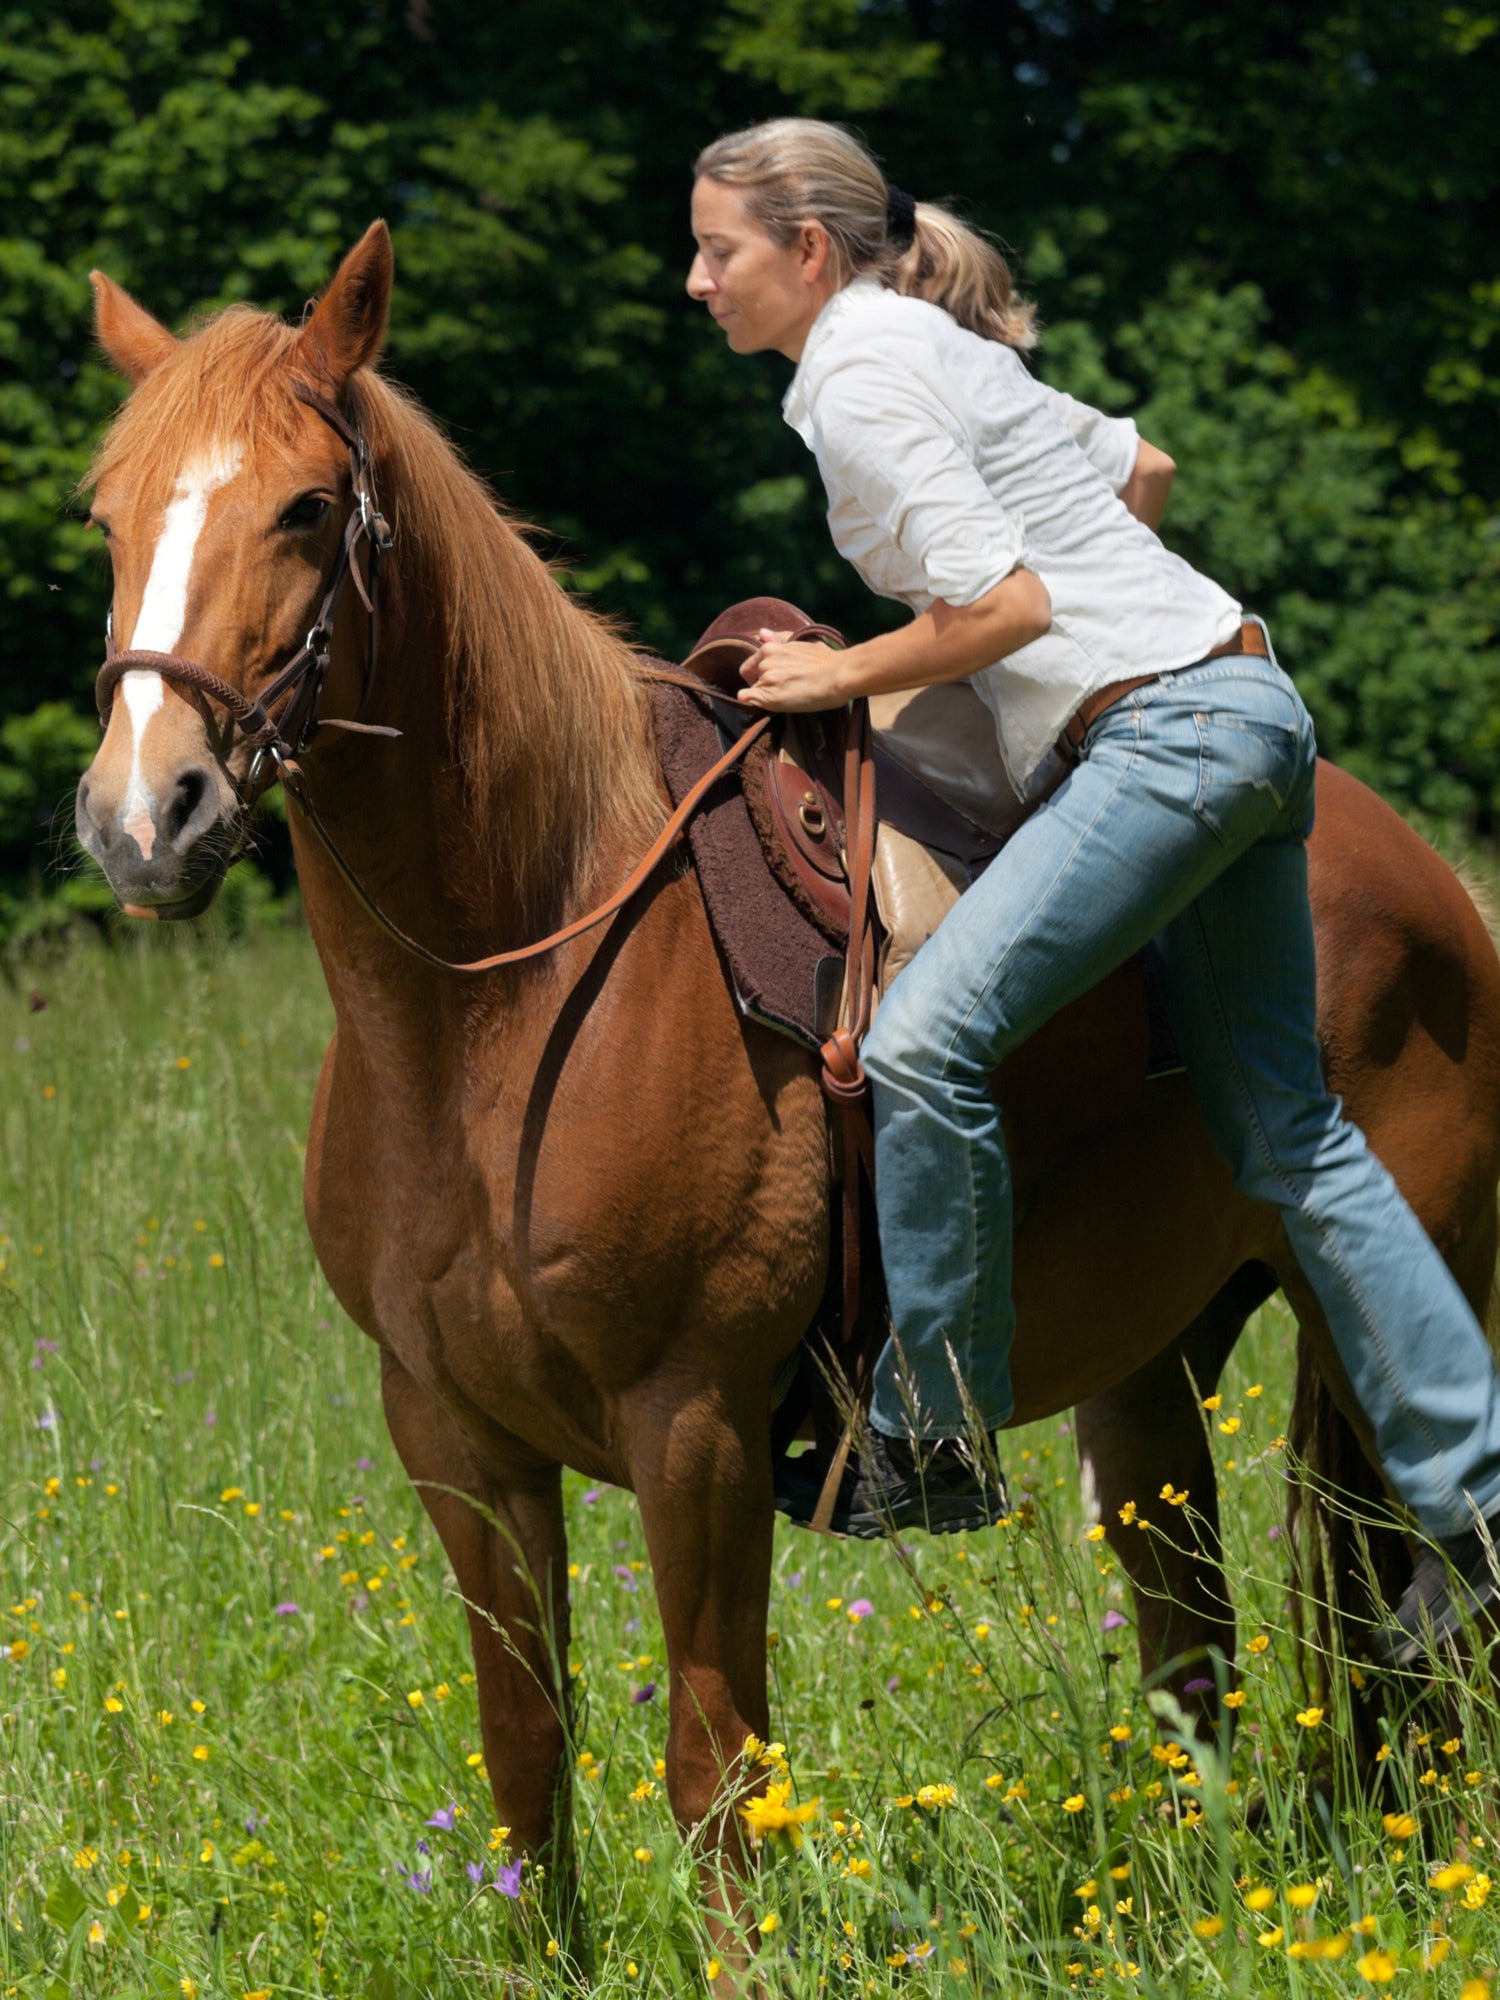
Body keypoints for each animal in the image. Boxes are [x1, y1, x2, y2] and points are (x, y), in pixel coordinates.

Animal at [74, 223, 1500, 1941]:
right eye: (105, 514)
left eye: (299, 507)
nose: (145, 816)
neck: (503, 1002)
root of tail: (1428, 885)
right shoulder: (451, 1434)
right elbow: (524, 1752)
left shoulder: (696, 1430)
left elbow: (715, 1768)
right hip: (1151, 1372)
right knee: (1202, 1655)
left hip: (1379, 1312)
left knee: (1420, 1599)